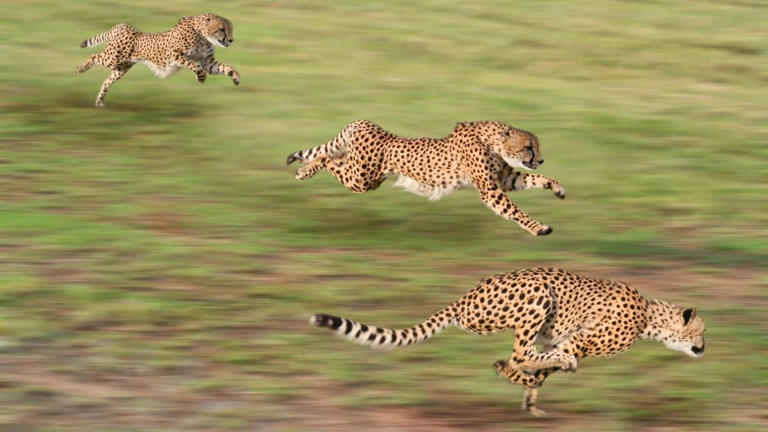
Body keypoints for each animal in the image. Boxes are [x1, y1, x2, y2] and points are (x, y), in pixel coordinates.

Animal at [76, 13, 240, 107]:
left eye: (230, 29)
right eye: (222, 29)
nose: (231, 40)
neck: (203, 35)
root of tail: (123, 25)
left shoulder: (207, 62)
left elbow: (226, 67)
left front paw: (236, 77)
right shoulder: (174, 55)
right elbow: (194, 65)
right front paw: (201, 78)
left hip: (121, 67)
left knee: (107, 81)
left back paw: (99, 101)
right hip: (112, 57)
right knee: (94, 56)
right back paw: (80, 68)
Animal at [287, 120, 565, 236]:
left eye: (536, 147)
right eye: (529, 147)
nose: (540, 159)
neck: (493, 140)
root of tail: (364, 123)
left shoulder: (505, 179)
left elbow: (535, 179)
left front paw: (557, 187)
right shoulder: (490, 190)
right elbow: (515, 211)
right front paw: (538, 228)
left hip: (365, 175)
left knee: (331, 158)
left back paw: (303, 169)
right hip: (360, 179)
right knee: (326, 158)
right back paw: (304, 171)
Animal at [310, 268, 706, 417]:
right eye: (701, 331)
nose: (704, 348)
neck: (651, 315)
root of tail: (467, 296)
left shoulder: (564, 341)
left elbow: (545, 368)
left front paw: (530, 400)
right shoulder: (579, 339)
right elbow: (550, 361)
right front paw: (524, 384)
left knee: (524, 355)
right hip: (539, 295)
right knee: (519, 353)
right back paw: (507, 366)